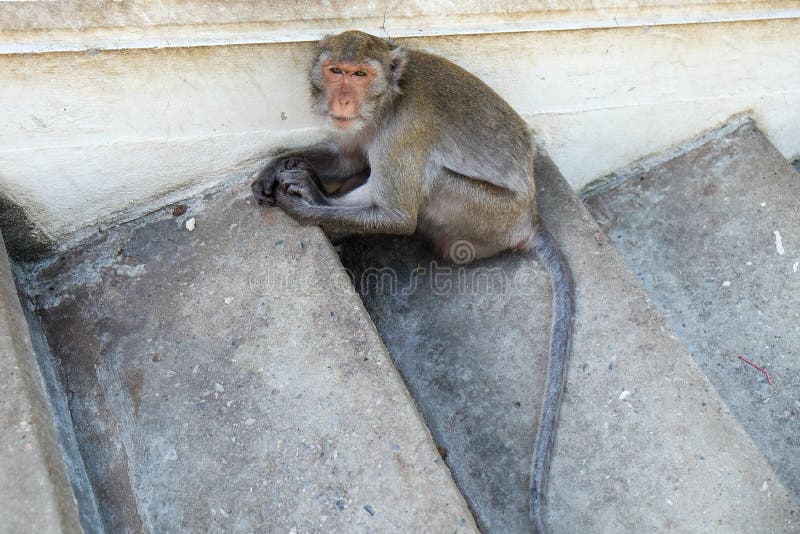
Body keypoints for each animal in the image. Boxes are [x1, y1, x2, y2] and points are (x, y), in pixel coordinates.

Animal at [251, 31, 573, 534]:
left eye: (360, 74)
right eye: (335, 71)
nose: (344, 99)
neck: (386, 105)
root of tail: (531, 216)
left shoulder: (404, 134)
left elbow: (398, 216)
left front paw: (304, 205)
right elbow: (346, 156)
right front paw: (277, 165)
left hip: (483, 216)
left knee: (432, 180)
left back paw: (326, 199)